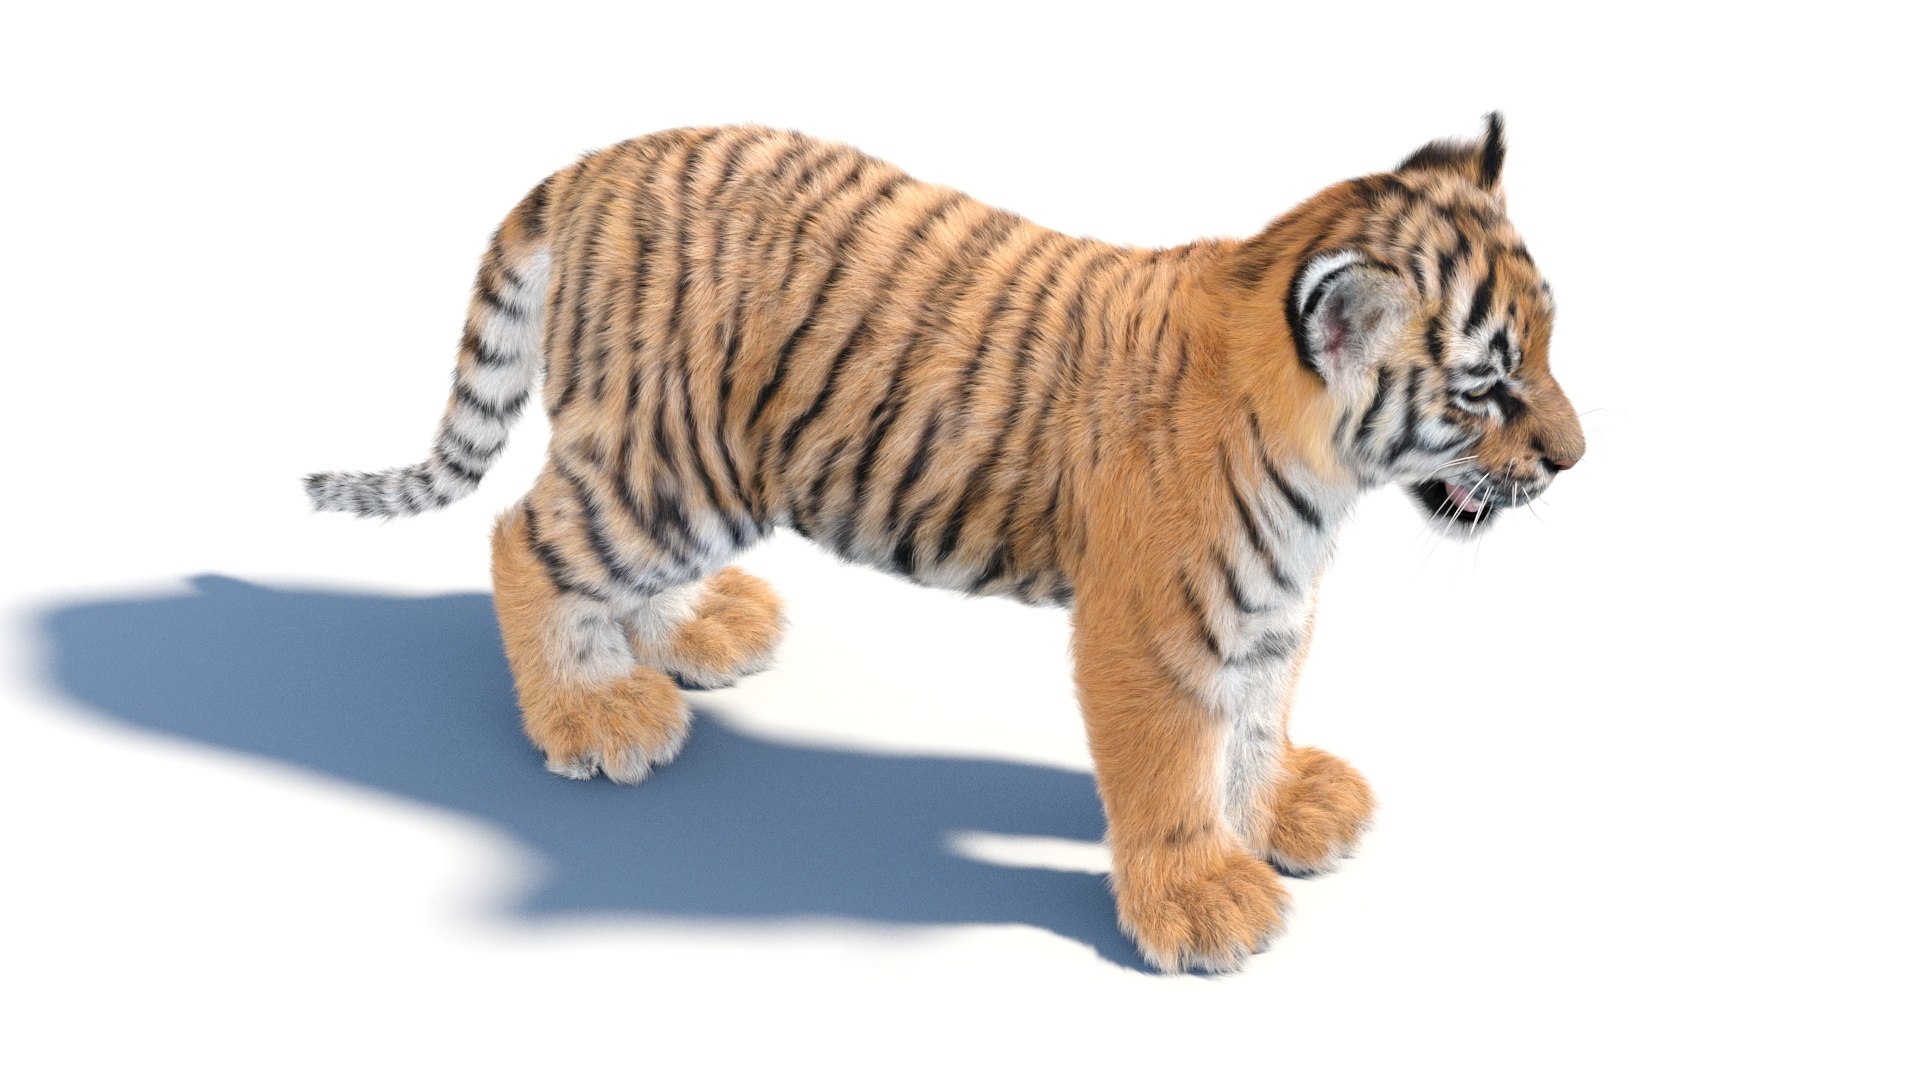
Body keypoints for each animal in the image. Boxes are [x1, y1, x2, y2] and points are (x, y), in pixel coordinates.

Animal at [306, 114, 1584, 973]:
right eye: (1487, 386)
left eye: (1549, 347)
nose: (1576, 458)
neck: (1325, 472)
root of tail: (592, 166)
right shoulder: (1150, 628)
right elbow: (1176, 762)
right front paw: (1200, 904)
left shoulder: (1270, 607)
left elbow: (1258, 725)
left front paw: (1280, 815)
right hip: (674, 465)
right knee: (525, 540)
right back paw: (593, 715)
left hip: (668, 468)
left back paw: (700, 633)